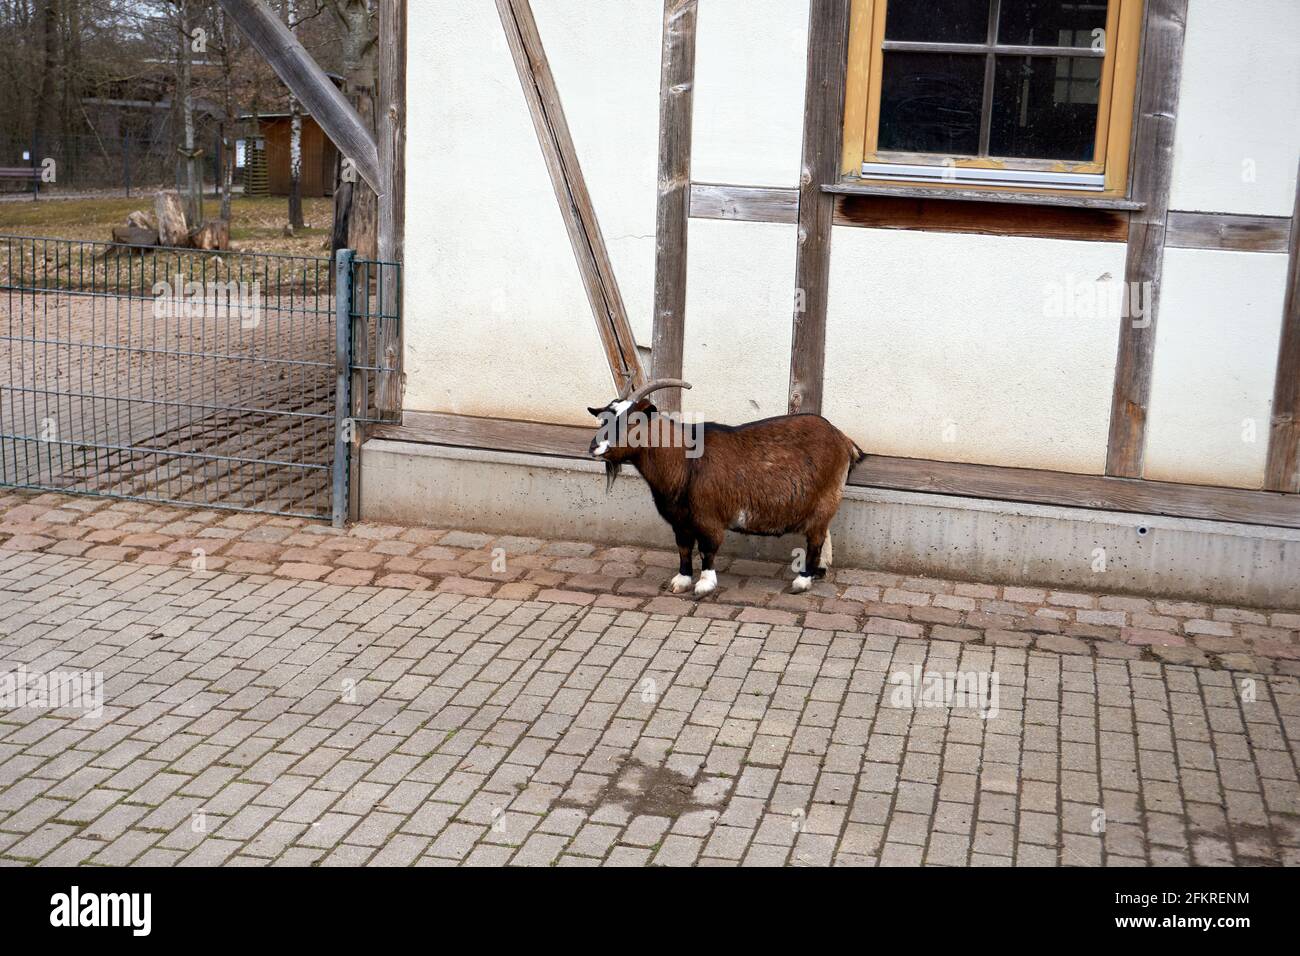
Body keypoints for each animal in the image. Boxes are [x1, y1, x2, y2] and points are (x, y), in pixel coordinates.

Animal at [587, 379, 866, 597]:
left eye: (631, 422)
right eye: (604, 419)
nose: (593, 447)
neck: (685, 459)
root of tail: (844, 440)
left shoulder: (708, 517)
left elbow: (707, 549)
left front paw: (704, 585)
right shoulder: (680, 520)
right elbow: (683, 548)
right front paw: (682, 580)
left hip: (826, 498)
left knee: (816, 537)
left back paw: (802, 580)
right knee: (823, 534)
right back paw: (819, 571)